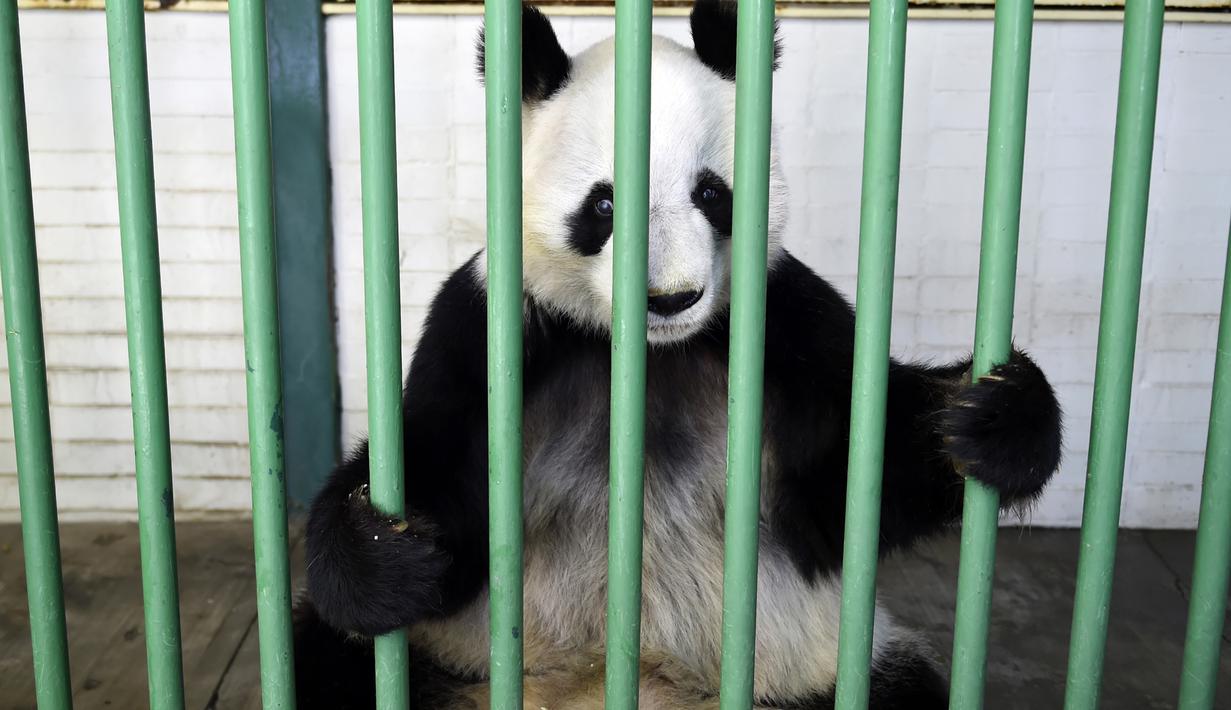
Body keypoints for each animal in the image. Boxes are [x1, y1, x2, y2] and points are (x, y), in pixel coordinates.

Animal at [293, 2, 1063, 708]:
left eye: (711, 194)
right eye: (602, 207)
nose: (672, 298)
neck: (645, 354)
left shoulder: (783, 326)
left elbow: (852, 477)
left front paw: (989, 417)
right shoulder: (490, 332)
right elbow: (437, 477)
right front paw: (382, 550)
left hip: (819, 676)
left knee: (903, 685)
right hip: (451, 665)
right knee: (330, 659)